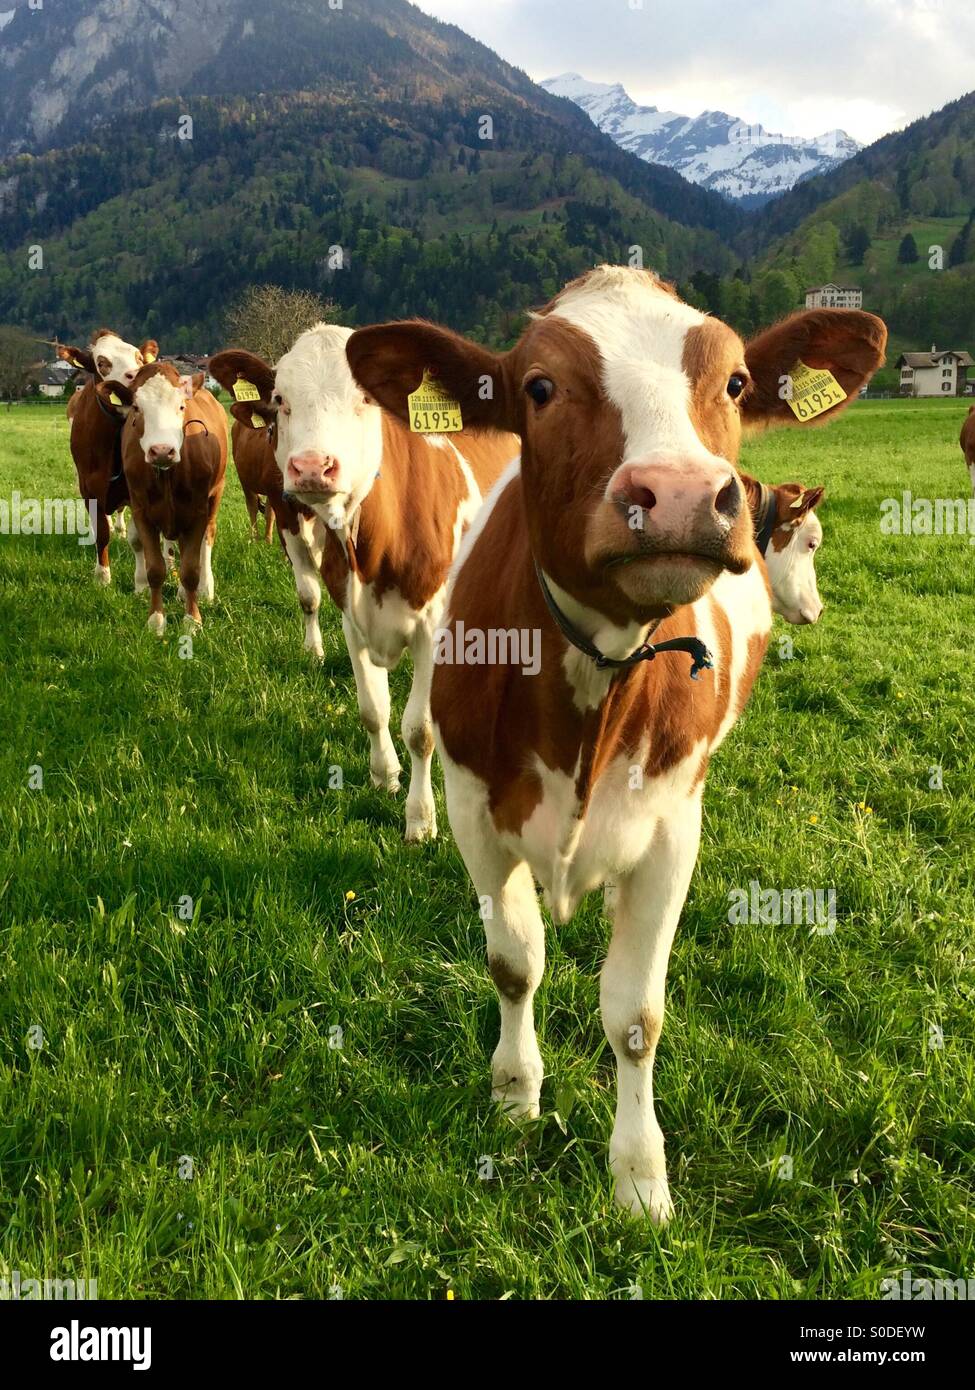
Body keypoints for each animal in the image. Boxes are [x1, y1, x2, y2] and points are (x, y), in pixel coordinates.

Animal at [57, 330, 159, 584]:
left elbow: (139, 536)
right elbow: (102, 532)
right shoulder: (88, 487)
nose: (136, 375)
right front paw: (102, 575)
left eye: (139, 358)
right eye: (102, 363)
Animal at [96, 362, 228, 633]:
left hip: (215, 495)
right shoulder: (142, 513)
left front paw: (192, 621)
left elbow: (191, 570)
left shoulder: (197, 513)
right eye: (136, 408)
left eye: (181, 406)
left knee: (206, 541)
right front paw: (156, 621)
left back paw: (205, 589)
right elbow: (155, 568)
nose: (162, 451)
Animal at [209, 325, 519, 840]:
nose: (312, 466)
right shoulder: (352, 619)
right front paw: (384, 776)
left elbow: (420, 730)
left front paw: (421, 819)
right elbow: (372, 709)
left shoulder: (433, 628)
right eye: (281, 399)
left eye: (365, 399)